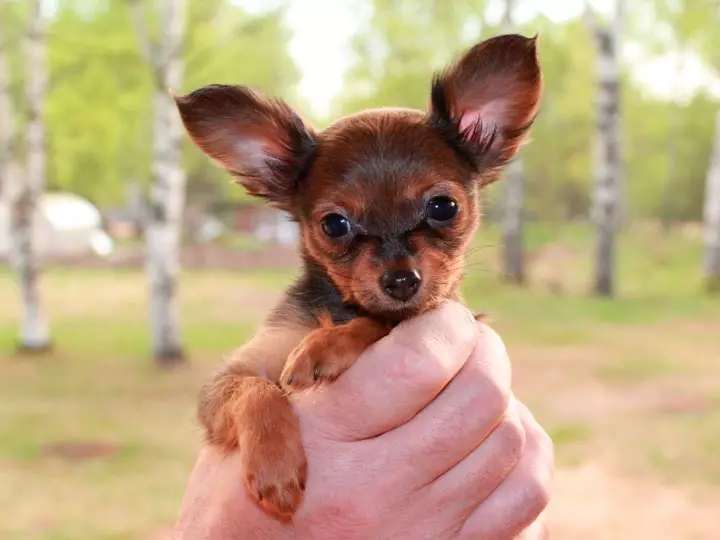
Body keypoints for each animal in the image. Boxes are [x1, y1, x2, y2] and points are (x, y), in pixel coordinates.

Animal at [174, 33, 544, 524]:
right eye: (335, 225)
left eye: (444, 207)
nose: (402, 280)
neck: (339, 309)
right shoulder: (224, 383)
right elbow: (255, 390)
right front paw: (276, 467)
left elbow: (379, 322)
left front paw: (328, 344)